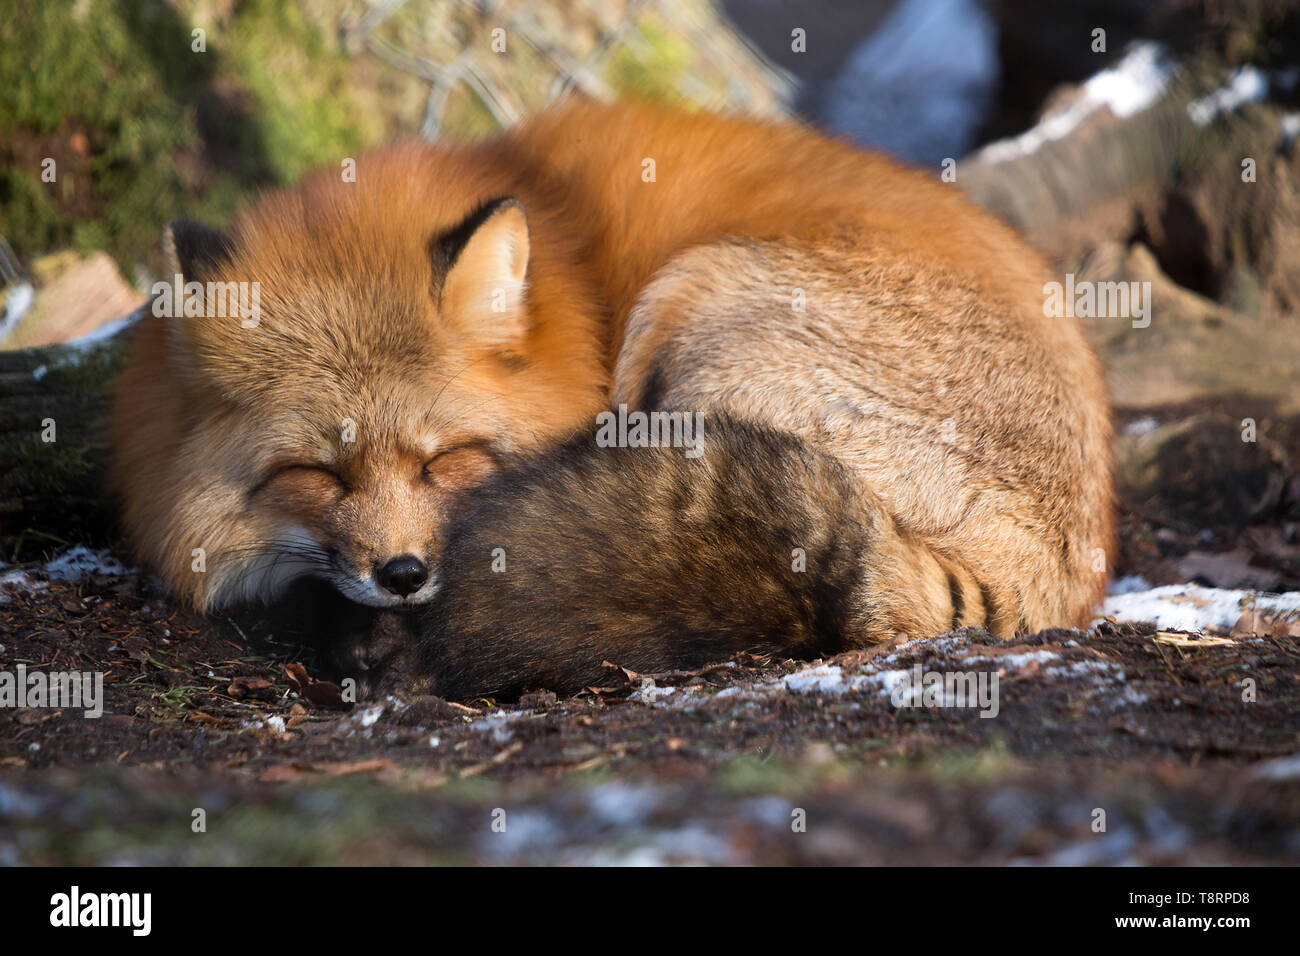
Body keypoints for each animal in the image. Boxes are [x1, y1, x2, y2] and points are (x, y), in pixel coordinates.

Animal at [111, 99, 1114, 696]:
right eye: (319, 473)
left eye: (446, 459)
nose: (401, 575)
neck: (577, 285)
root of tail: (1063, 569)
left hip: (696, 300)